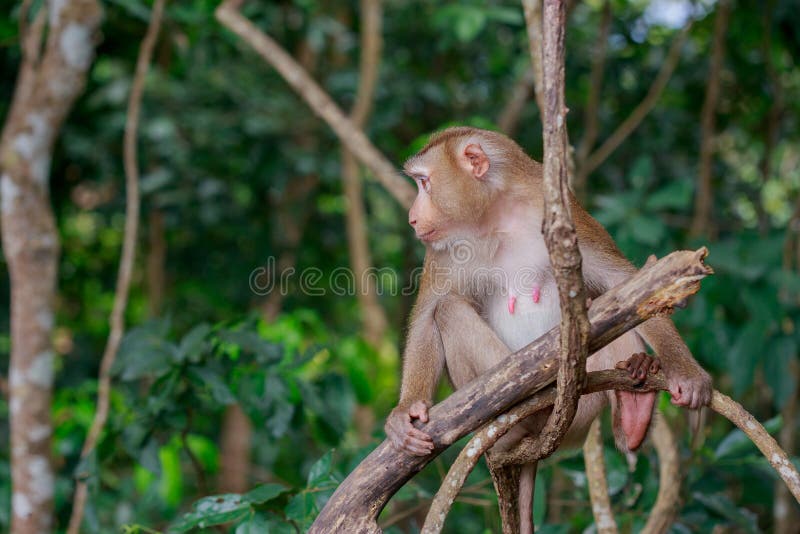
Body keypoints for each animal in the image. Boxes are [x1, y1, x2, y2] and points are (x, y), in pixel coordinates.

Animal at [384, 126, 712, 533]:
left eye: (424, 183)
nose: (412, 219)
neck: (495, 216)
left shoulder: (563, 214)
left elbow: (628, 285)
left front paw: (687, 372)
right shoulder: (443, 250)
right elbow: (429, 314)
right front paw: (405, 411)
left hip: (584, 412)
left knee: (601, 307)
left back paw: (633, 408)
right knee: (449, 311)